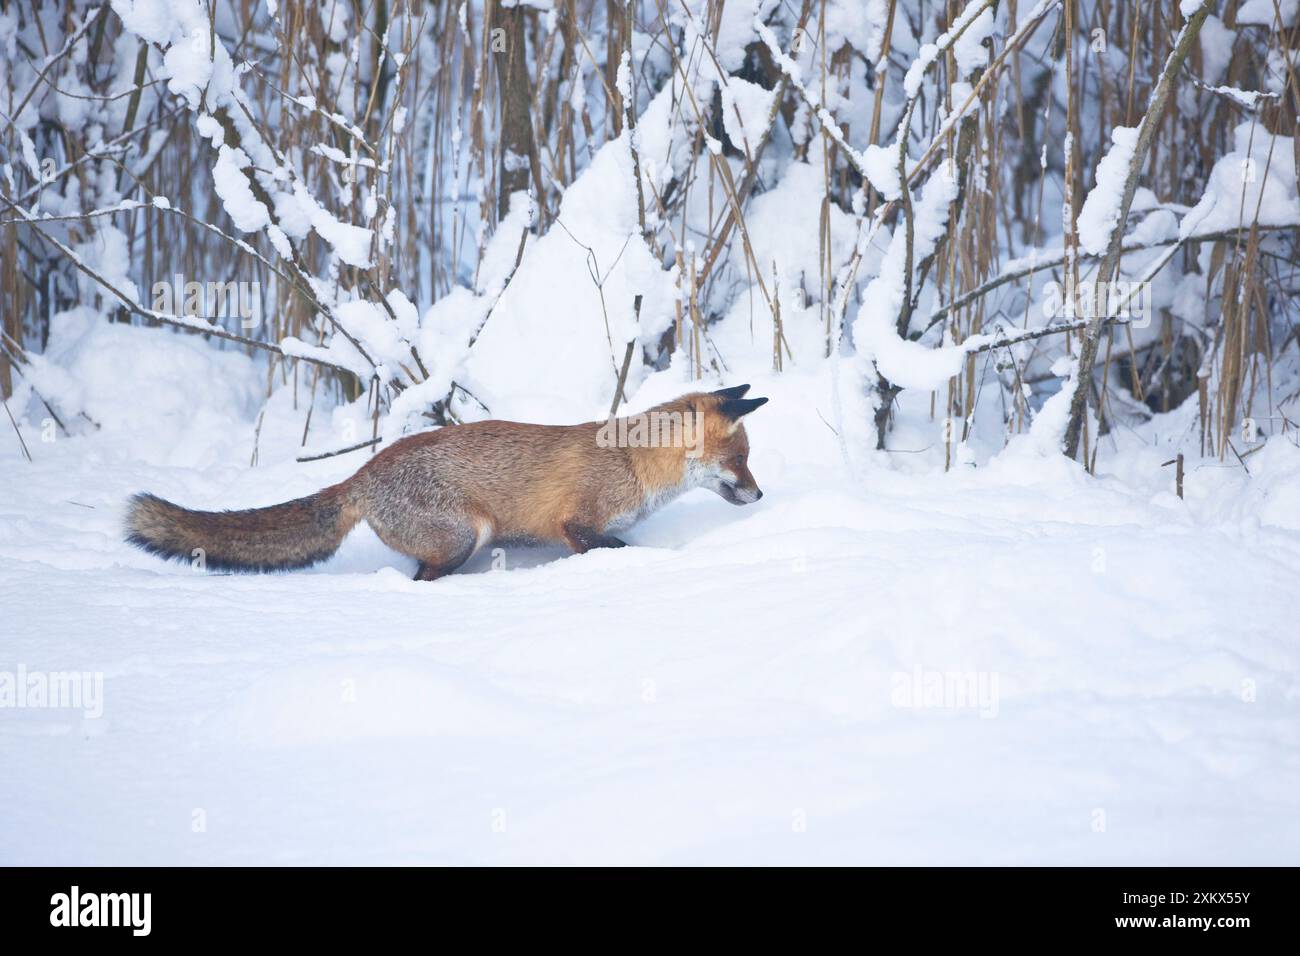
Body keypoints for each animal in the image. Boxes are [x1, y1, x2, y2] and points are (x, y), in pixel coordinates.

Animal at [125, 384, 768, 581]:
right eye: (740, 458)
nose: (760, 495)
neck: (634, 463)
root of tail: (360, 474)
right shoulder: (575, 522)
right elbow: (612, 546)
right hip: (466, 535)